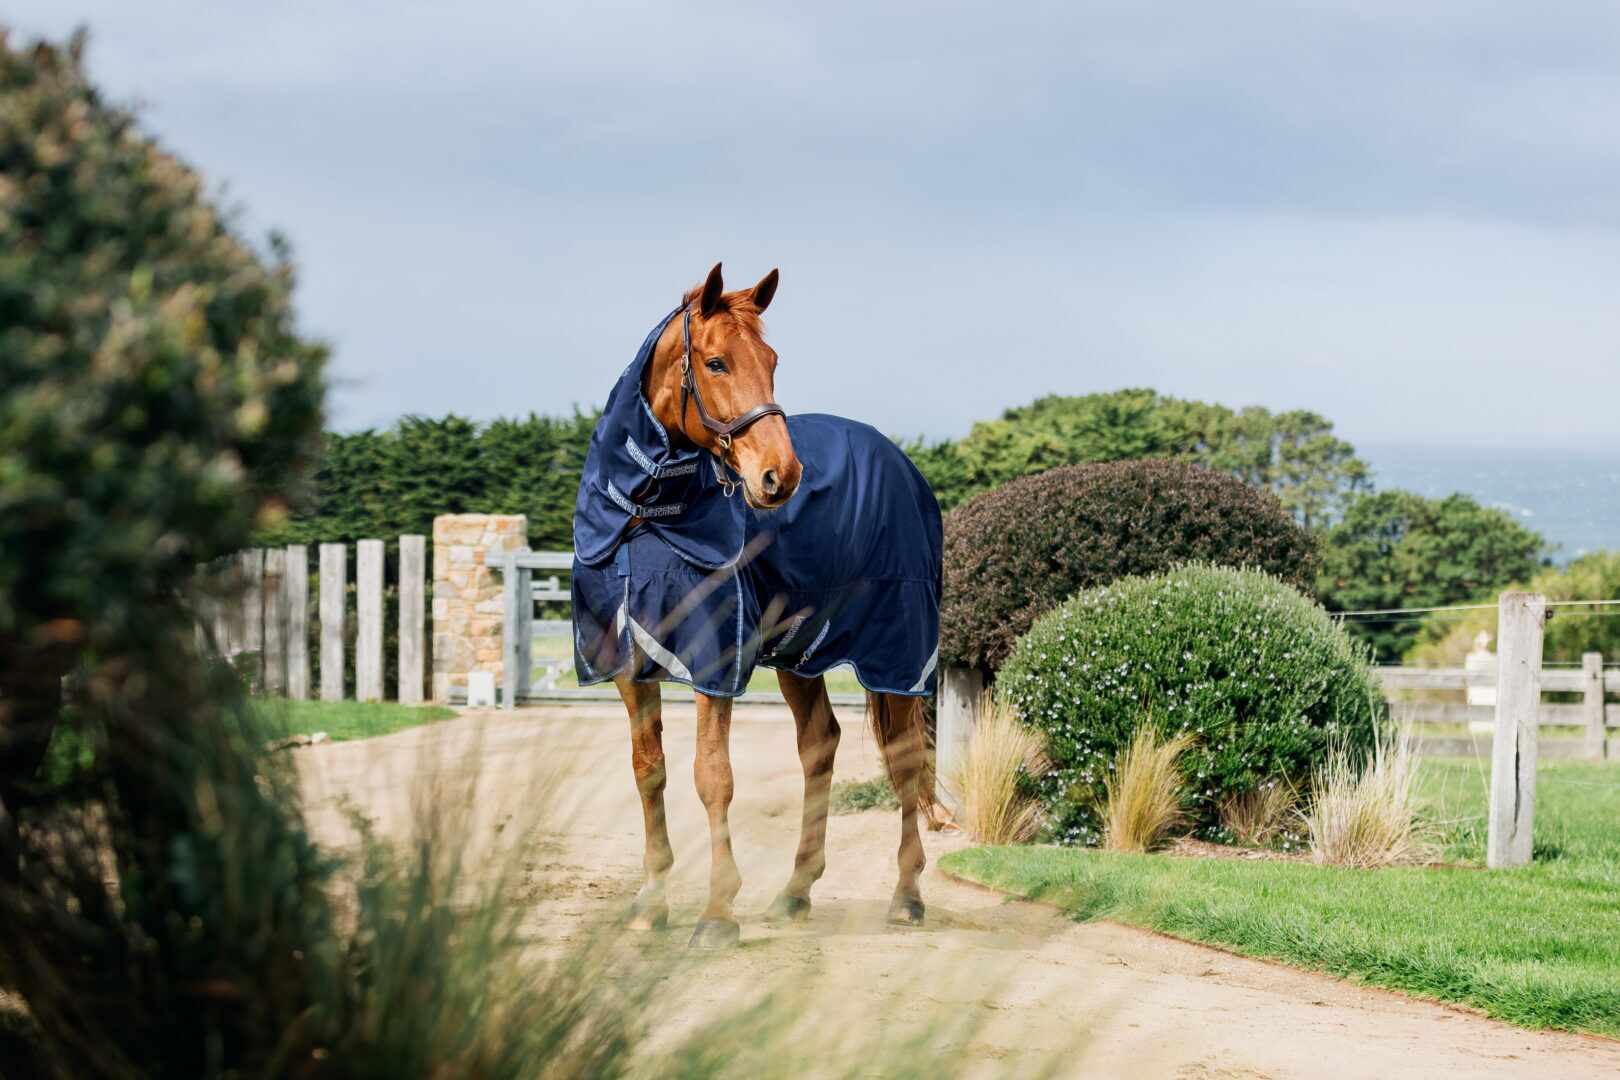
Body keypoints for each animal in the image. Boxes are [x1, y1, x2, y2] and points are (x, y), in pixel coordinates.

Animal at [570, 263, 943, 948]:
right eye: (716, 362)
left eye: (771, 361)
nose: (781, 475)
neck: (645, 518)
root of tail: (900, 462)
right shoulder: (630, 663)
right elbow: (649, 770)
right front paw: (652, 901)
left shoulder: (714, 656)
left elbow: (712, 775)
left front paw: (718, 912)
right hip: (801, 650)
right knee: (819, 743)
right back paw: (795, 891)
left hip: (900, 651)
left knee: (905, 758)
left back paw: (906, 897)